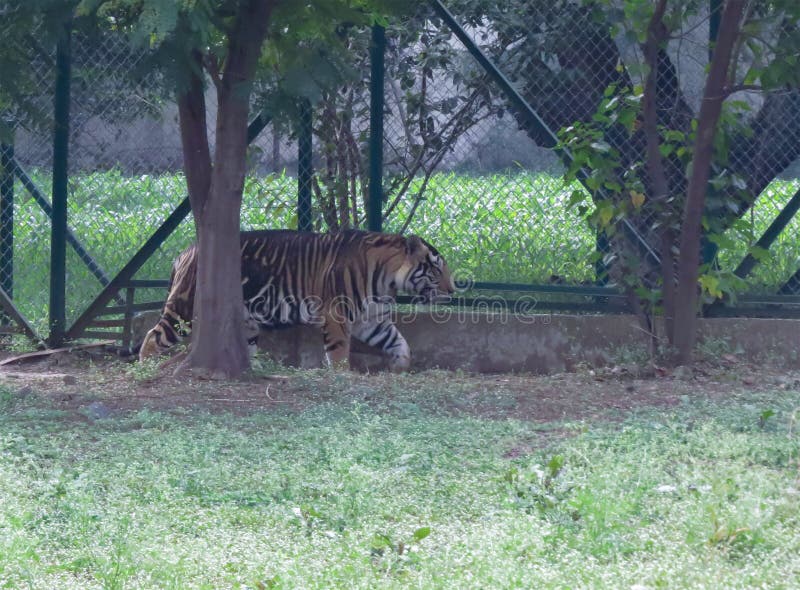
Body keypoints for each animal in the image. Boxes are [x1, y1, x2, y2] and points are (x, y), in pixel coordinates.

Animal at [138, 229, 455, 371]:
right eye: (436, 268)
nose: (453, 290)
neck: (388, 280)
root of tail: (185, 251)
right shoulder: (337, 314)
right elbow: (339, 352)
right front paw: (342, 375)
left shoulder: (373, 320)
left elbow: (401, 343)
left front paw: (400, 367)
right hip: (183, 311)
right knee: (152, 336)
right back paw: (144, 369)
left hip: (246, 323)